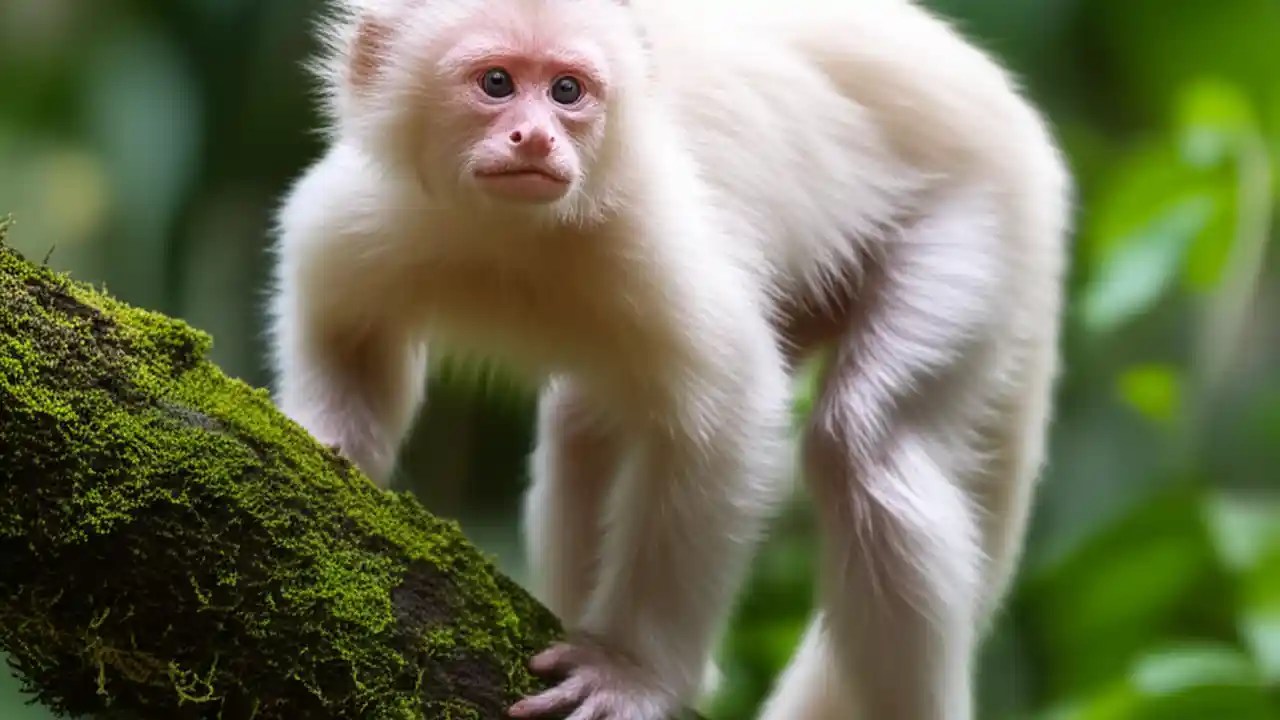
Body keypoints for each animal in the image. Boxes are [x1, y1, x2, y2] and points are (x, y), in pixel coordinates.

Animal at [267, 0, 1072, 718]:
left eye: (567, 91)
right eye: (496, 83)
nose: (535, 138)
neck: (512, 235)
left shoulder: (651, 233)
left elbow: (730, 421)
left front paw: (633, 674)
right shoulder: (371, 211)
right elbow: (342, 330)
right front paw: (330, 456)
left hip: (982, 225)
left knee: (862, 443)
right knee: (585, 424)